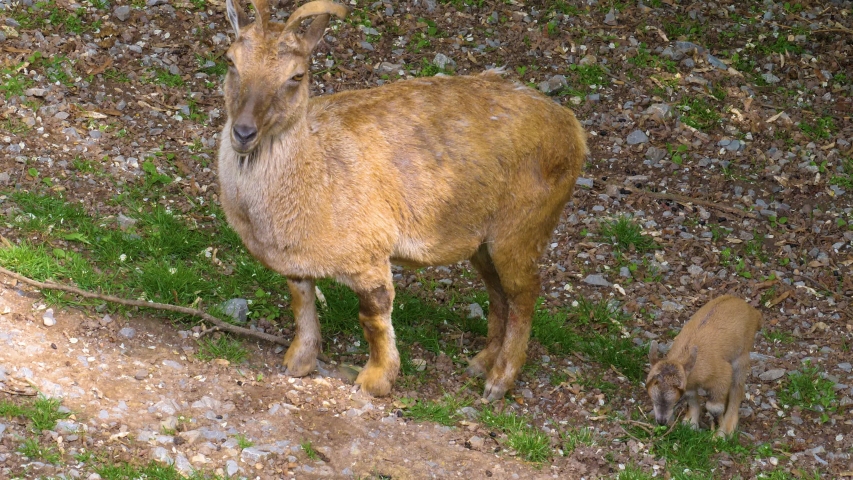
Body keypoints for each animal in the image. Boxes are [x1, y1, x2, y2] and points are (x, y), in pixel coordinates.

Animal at [217, 0, 588, 401]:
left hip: (522, 227)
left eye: (296, 75)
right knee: (499, 292)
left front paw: (376, 380)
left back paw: (499, 380)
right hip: (482, 239)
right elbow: (301, 302)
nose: (244, 132)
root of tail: (572, 130)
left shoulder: (369, 253)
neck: (313, 171)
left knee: (525, 292)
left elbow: (373, 317)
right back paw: (480, 362)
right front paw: (297, 361)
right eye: (230, 60)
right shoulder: (297, 259)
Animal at [646, 295, 762, 436]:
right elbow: (691, 398)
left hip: (742, 356)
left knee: (737, 389)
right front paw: (690, 423)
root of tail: (753, 312)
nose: (661, 421)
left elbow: (714, 408)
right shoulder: (689, 384)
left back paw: (729, 426)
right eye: (652, 398)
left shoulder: (721, 376)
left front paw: (718, 434)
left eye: (675, 401)